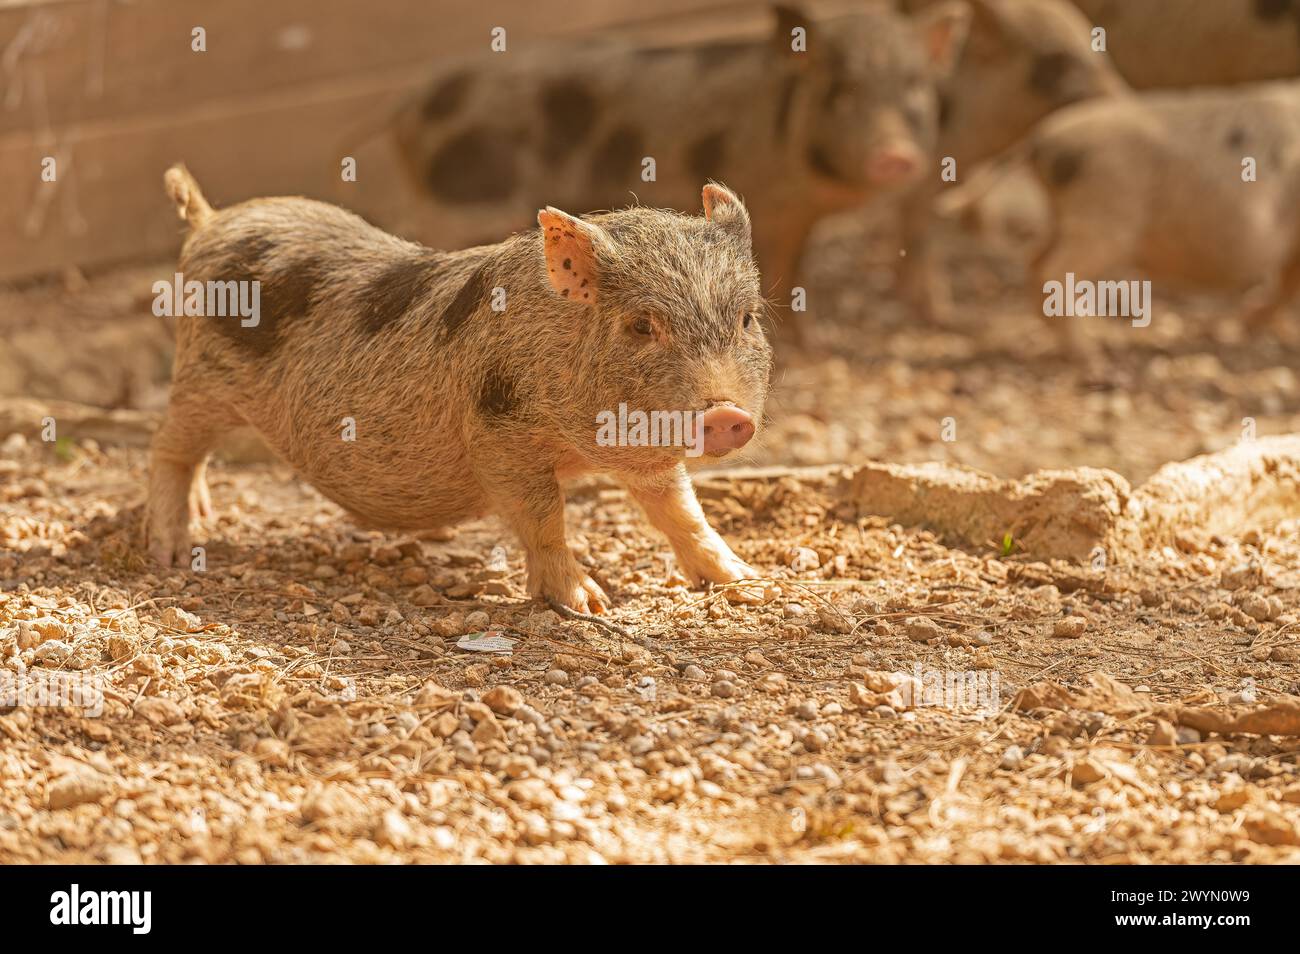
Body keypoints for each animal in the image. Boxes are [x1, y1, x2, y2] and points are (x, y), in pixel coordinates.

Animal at [147, 165, 772, 614]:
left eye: (746, 318)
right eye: (642, 325)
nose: (726, 415)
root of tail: (209, 222)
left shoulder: (640, 449)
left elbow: (681, 511)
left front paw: (750, 581)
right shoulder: (498, 435)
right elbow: (544, 517)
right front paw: (590, 605)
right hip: (201, 376)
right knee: (167, 446)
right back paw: (172, 551)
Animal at [390, 1, 971, 341]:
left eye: (913, 87)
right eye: (843, 91)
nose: (895, 154)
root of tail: (412, 111)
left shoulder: (798, 217)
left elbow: (797, 269)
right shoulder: (772, 207)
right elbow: (777, 270)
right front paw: (799, 345)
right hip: (462, 206)